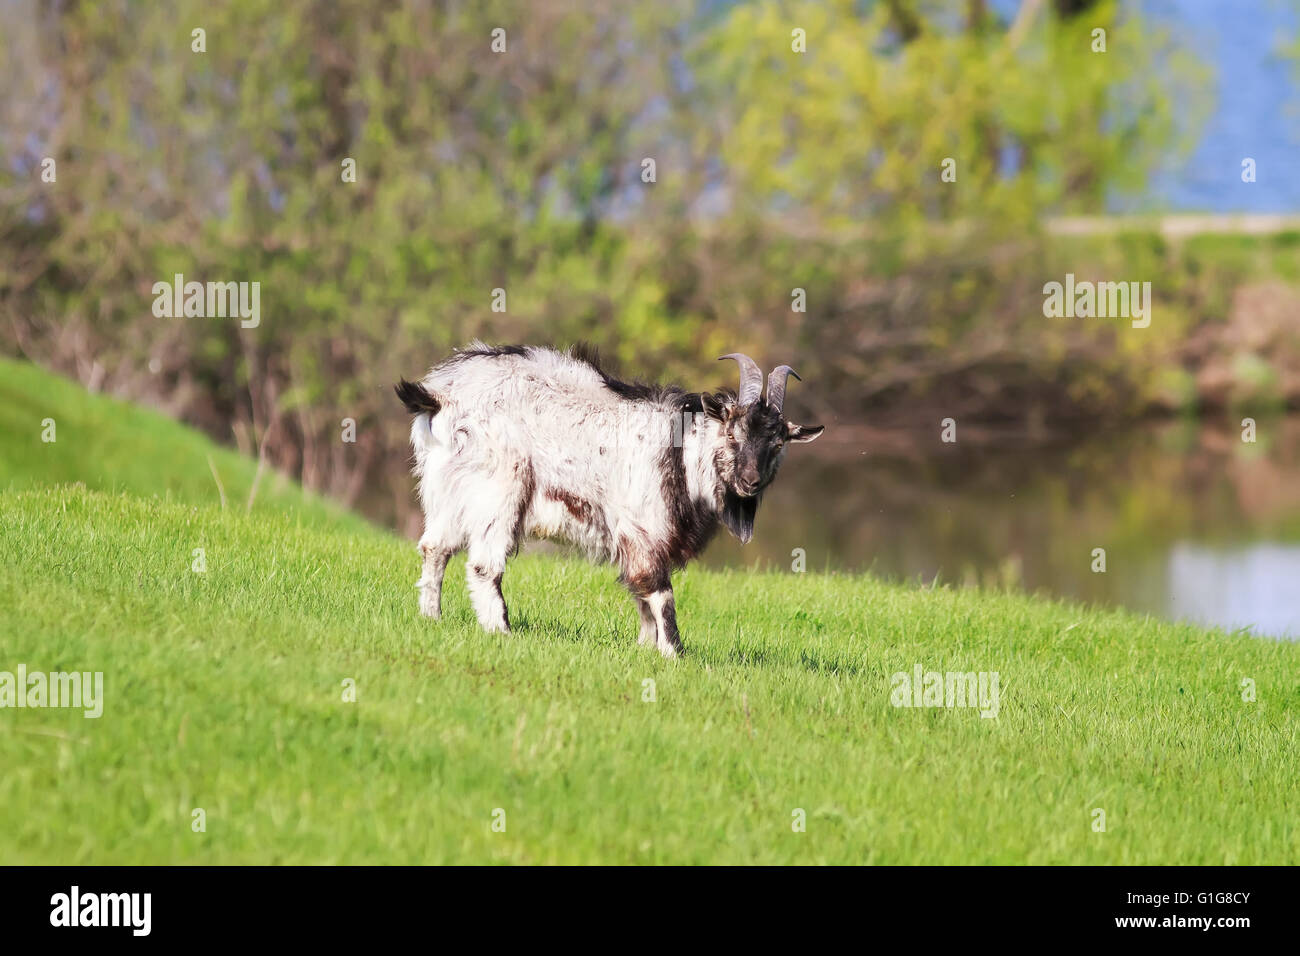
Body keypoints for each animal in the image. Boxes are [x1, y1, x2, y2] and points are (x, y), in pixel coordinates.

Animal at [395, 343, 823, 657]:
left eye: (778, 442)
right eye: (733, 433)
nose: (751, 482)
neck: (683, 452)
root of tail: (441, 396)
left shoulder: (632, 540)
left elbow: (640, 595)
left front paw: (645, 648)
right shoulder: (643, 529)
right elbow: (658, 592)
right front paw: (673, 653)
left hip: (449, 490)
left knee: (435, 548)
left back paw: (431, 618)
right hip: (498, 487)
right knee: (484, 565)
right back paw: (502, 631)